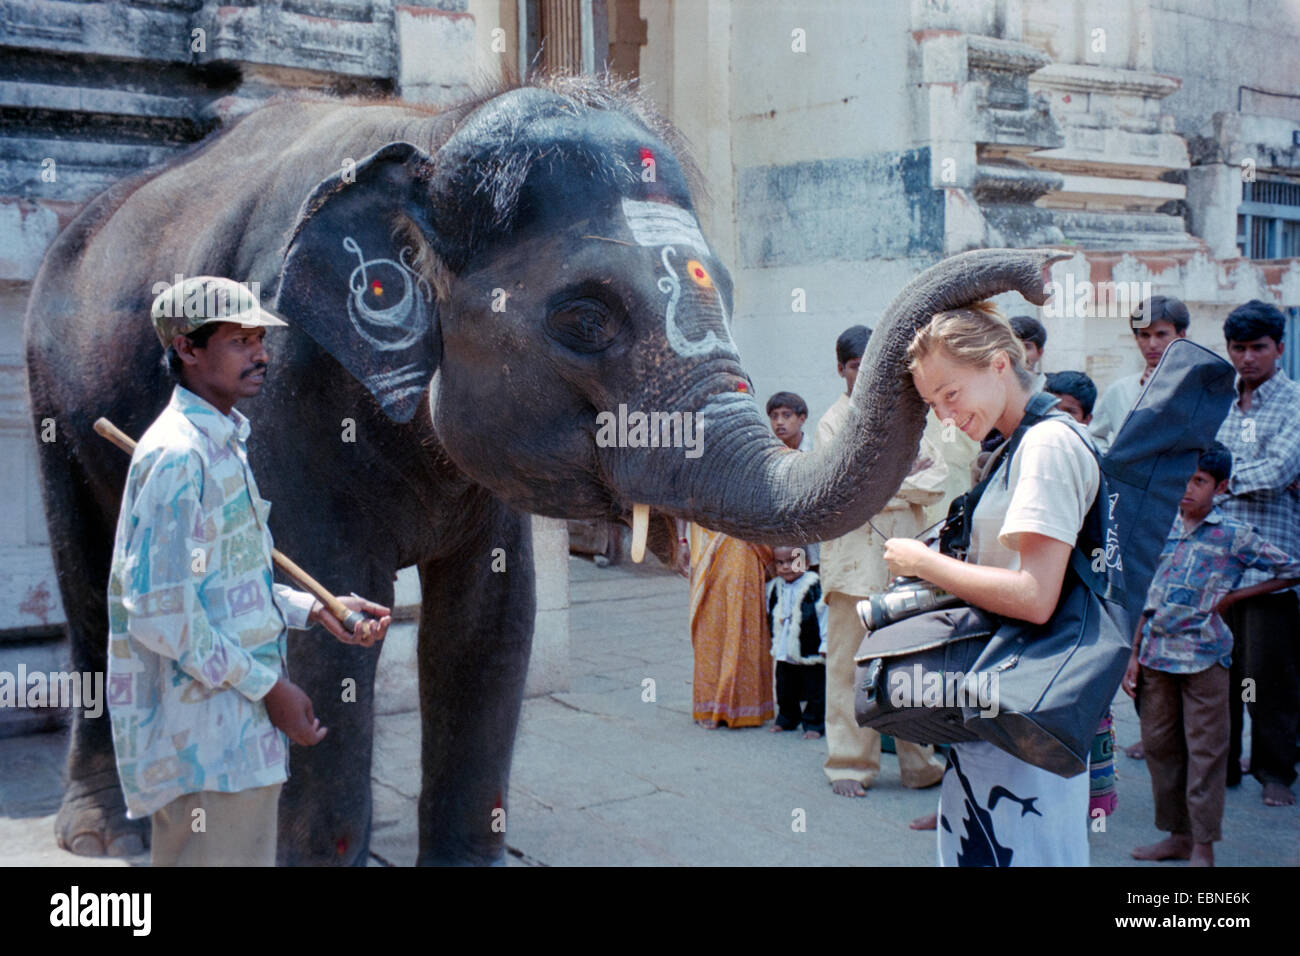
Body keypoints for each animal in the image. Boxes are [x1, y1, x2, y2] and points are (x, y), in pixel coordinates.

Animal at [24, 72, 1060, 865]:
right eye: (584, 319)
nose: (1039, 272)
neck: (430, 137)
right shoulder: (286, 392)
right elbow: (324, 634)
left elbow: (493, 626)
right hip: (46, 384)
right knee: (91, 583)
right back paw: (106, 833)